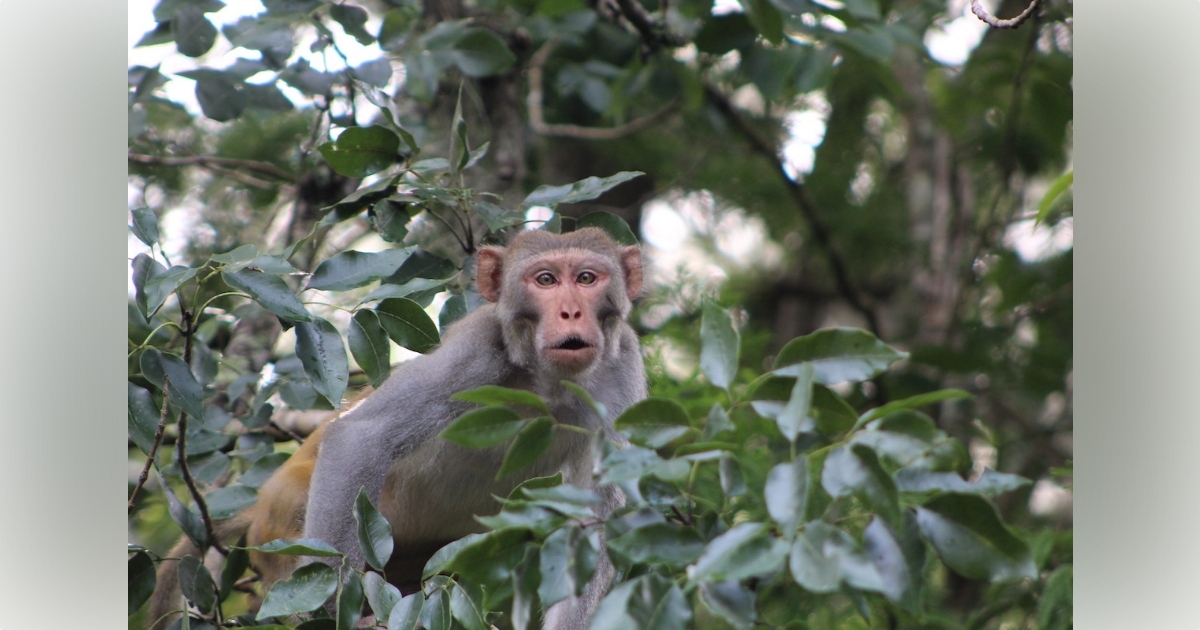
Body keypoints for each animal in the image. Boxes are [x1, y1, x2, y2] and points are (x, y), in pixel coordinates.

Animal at [147, 227, 647, 630]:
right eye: (545, 280)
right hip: (285, 526)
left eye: (587, 278)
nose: (570, 313)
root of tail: (258, 507)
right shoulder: (479, 350)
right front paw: (333, 609)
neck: (550, 383)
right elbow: (363, 435)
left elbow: (594, 522)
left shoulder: (623, 373)